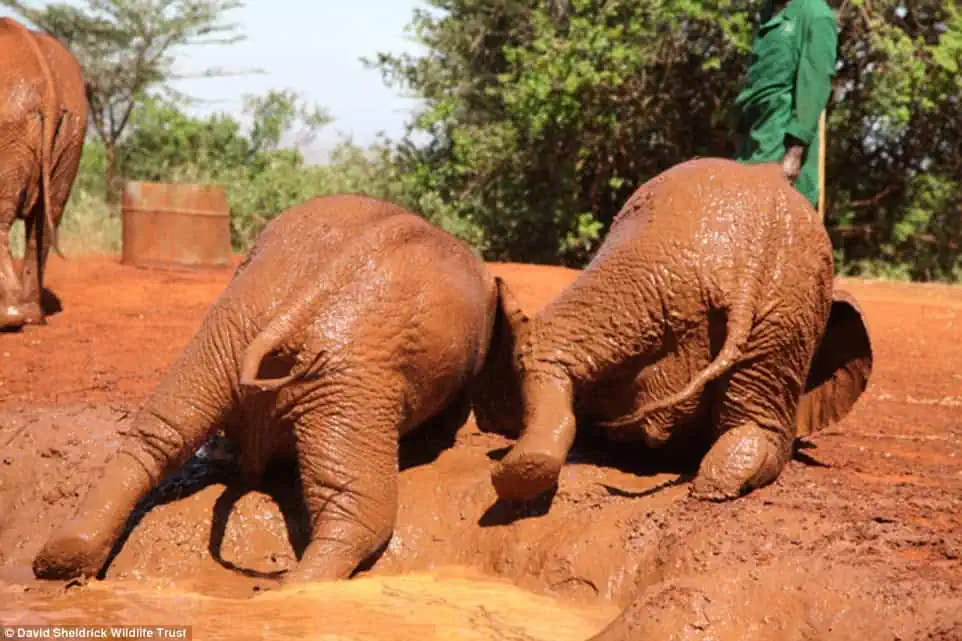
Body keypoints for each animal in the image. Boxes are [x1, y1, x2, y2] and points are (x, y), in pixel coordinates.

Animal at [33, 194, 515, 584]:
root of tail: (299, 306)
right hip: (350, 369)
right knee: (361, 513)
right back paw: (296, 592)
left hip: (238, 327)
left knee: (162, 430)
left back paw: (63, 559)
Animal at [474, 157, 873, 504]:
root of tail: (748, 269)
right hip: (783, 306)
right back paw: (717, 487)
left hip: (644, 276)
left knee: (549, 342)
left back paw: (519, 472)